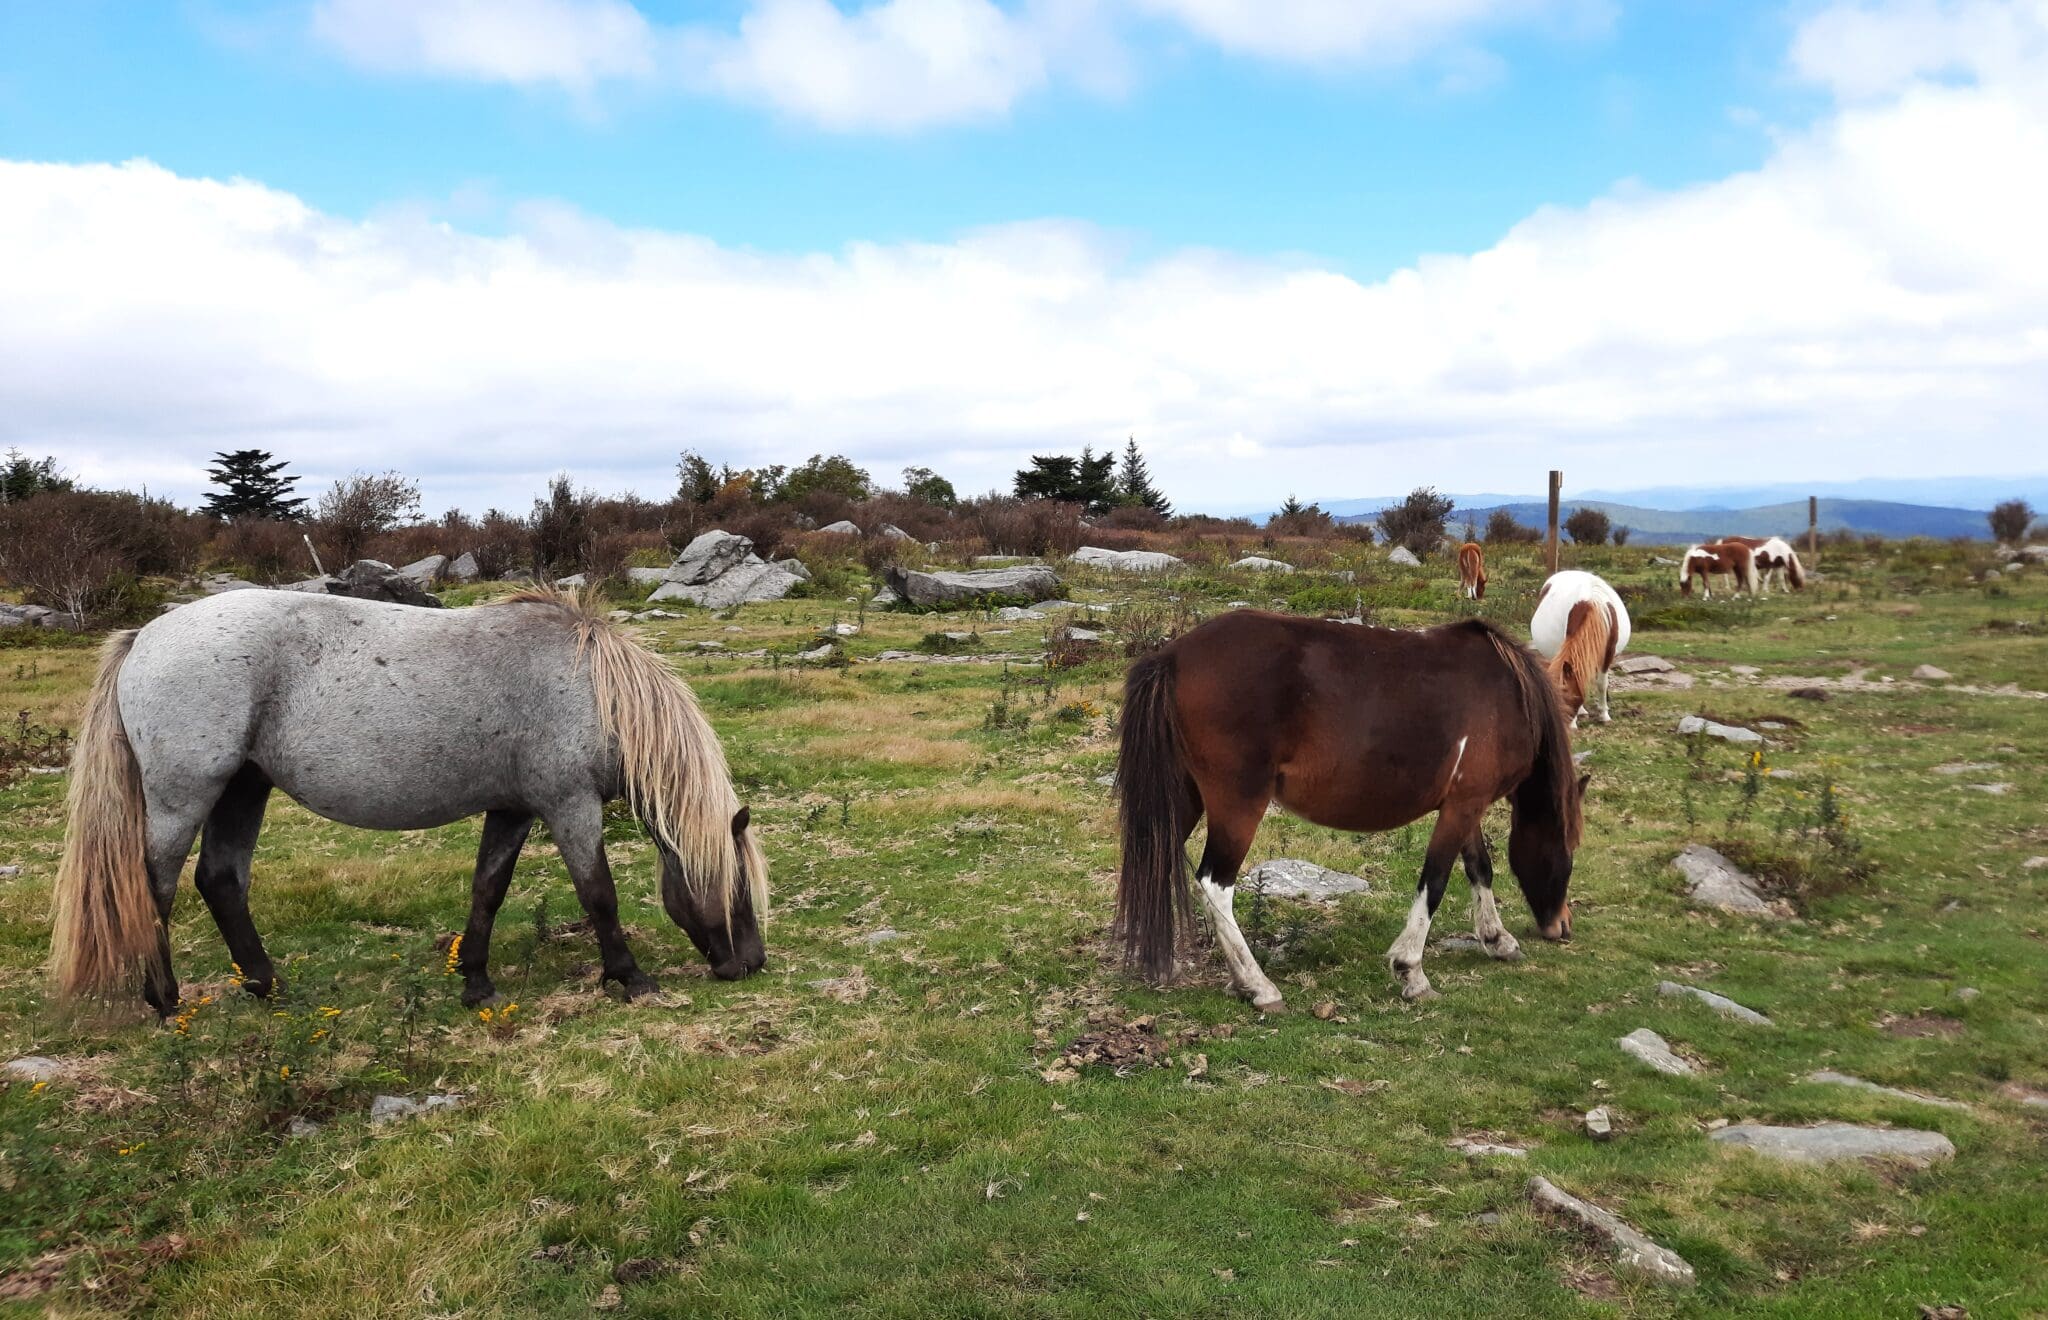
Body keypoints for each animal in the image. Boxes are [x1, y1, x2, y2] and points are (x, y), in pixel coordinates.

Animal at [49, 588, 768, 1016]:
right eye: (736, 887)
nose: (752, 964)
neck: (590, 687)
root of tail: (147, 634)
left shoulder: (513, 809)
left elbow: (488, 890)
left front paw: (476, 983)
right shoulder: (569, 806)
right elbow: (599, 895)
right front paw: (631, 977)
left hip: (244, 788)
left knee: (221, 880)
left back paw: (266, 985)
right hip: (184, 796)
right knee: (155, 888)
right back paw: (165, 999)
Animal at [1115, 611, 1585, 1008]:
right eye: (1568, 848)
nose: (1561, 926)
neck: (1507, 694)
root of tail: (1172, 656)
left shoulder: (1464, 804)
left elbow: (1479, 868)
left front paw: (1497, 939)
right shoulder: (1464, 805)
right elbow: (1434, 883)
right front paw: (1412, 972)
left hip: (1184, 797)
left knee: (1157, 861)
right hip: (1238, 806)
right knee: (1215, 886)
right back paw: (1258, 985)